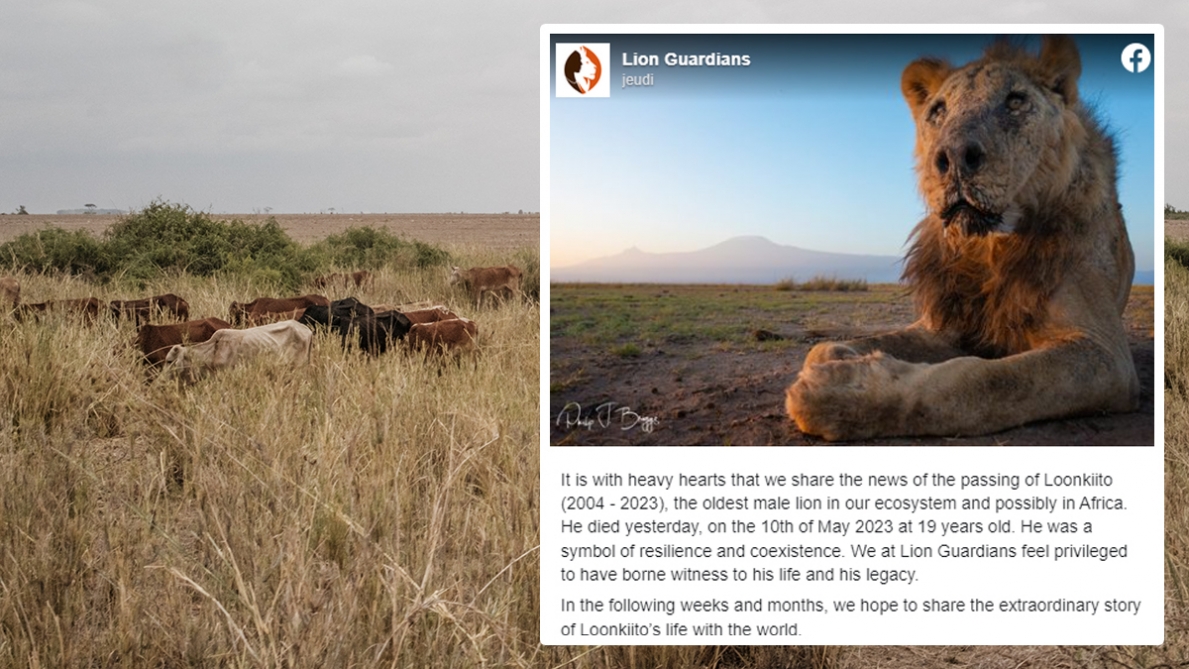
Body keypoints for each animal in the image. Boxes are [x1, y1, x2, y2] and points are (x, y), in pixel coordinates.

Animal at [784, 35, 1140, 442]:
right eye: (938, 111)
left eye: (1015, 100)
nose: (953, 156)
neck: (988, 247)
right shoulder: (946, 324)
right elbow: (833, 347)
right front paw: (839, 356)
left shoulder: (1105, 353)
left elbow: (983, 380)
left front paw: (843, 391)